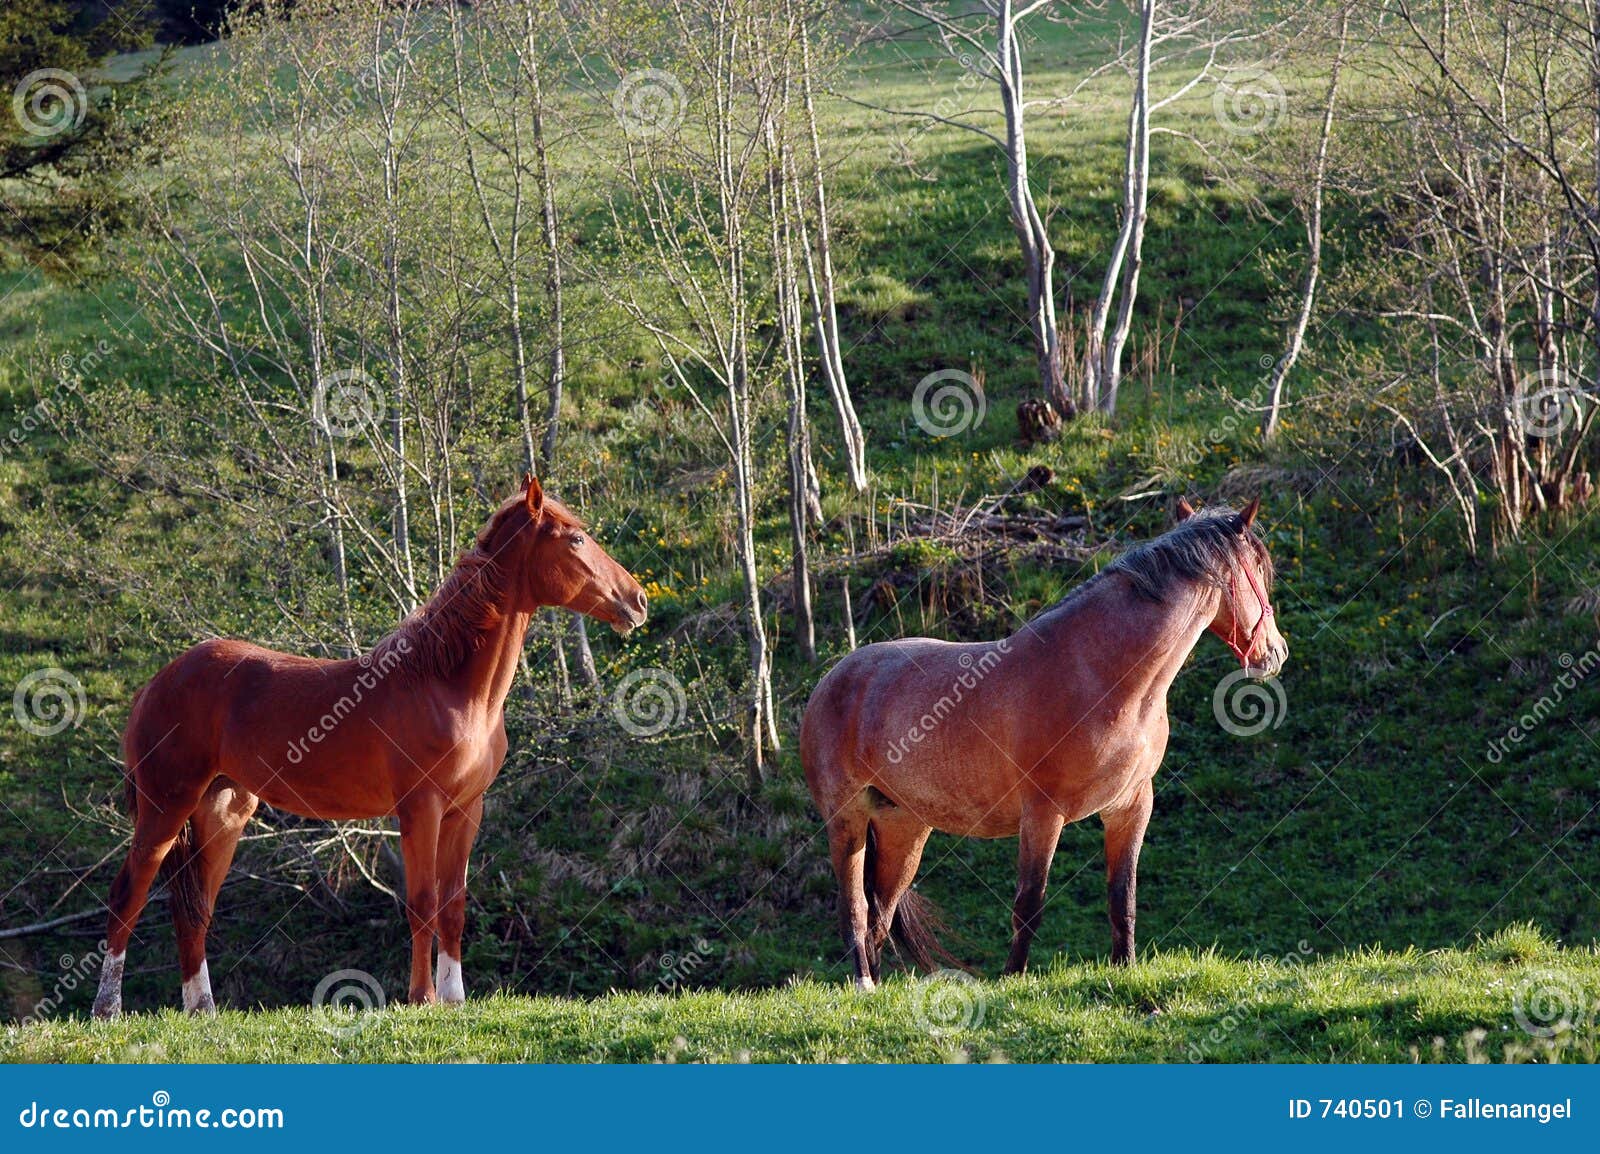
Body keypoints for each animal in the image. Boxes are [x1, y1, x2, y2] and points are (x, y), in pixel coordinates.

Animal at [92, 475, 647, 1017]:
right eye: (576, 540)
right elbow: (422, 902)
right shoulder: (421, 808)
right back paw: (108, 1009)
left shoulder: (466, 810)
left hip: (222, 809)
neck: (449, 686)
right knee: (128, 896)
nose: (637, 599)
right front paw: (422, 998)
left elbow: (453, 905)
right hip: (166, 806)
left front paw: (455, 998)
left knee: (194, 910)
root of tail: (157, 682)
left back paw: (201, 1009)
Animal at [800, 498, 1286, 988]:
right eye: (1260, 569)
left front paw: (1124, 967)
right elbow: (1029, 904)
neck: (1099, 675)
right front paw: (1013, 978)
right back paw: (863, 985)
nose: (1276, 651)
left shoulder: (1131, 806)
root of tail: (831, 680)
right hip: (847, 822)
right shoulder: (1043, 814)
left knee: (880, 916)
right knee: (855, 909)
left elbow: (1122, 899)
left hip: (904, 828)